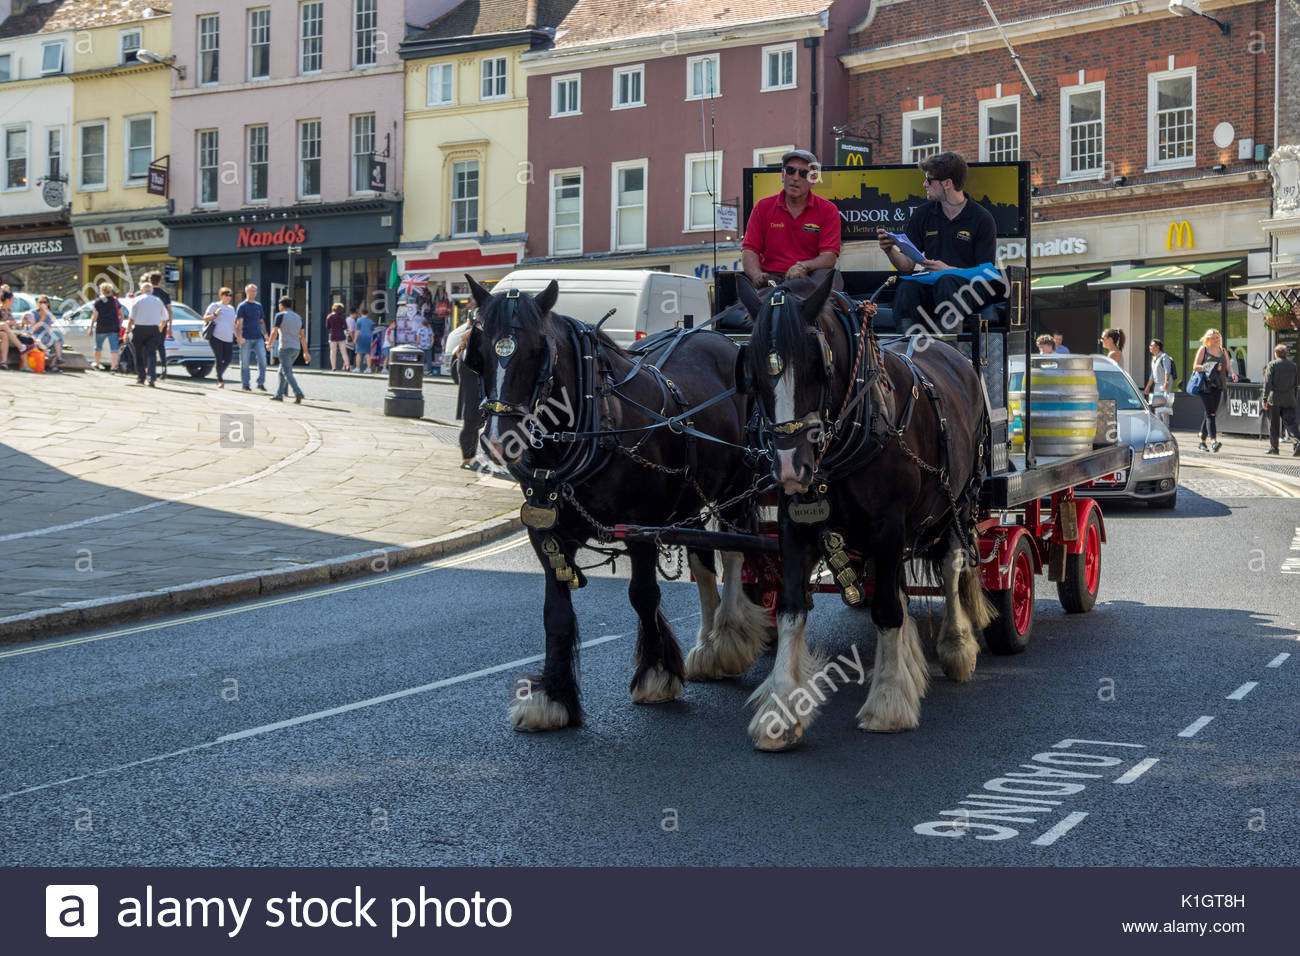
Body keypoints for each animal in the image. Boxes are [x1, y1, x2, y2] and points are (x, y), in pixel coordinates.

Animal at [463, 275, 771, 731]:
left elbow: (643, 595)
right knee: (703, 557)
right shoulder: (547, 533)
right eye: (479, 351)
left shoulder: (640, 527)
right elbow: (555, 614)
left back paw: (730, 640)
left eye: (538, 352)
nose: (501, 441)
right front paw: (553, 697)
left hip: (738, 483)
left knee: (735, 551)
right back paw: (709, 646)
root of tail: (714, 337)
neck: (596, 421)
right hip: (692, 498)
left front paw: (656, 675)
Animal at [734, 269, 995, 750]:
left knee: (951, 565)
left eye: (816, 363)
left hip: (960, 501)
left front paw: (888, 703)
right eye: (754, 370)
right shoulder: (794, 527)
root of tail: (955, 353)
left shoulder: (888, 526)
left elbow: (887, 611)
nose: (789, 467)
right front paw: (779, 713)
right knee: (901, 588)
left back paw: (956, 647)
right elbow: (792, 610)